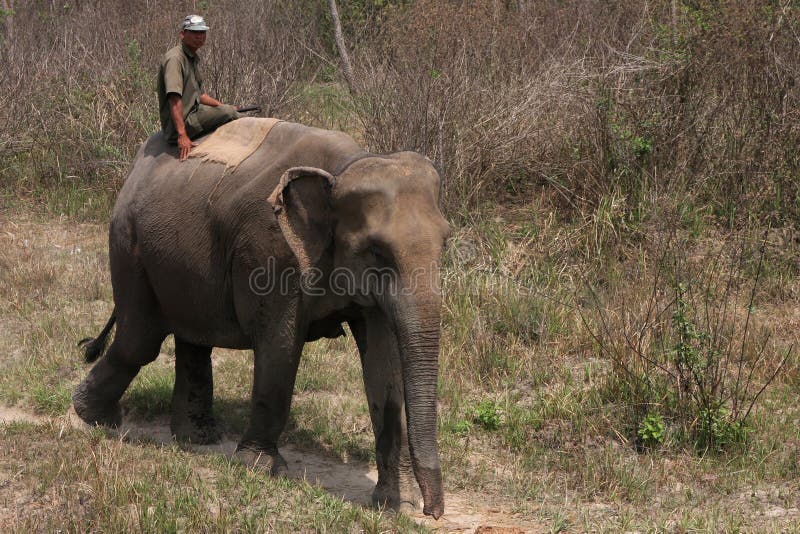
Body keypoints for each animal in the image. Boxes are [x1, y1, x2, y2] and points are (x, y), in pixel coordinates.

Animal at [71, 120, 449, 519]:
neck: (345, 167)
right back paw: (93, 418)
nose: (433, 512)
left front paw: (396, 504)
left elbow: (383, 364)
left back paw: (195, 438)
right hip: (128, 243)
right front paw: (258, 467)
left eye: (445, 242)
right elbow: (280, 345)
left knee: (191, 338)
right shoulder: (271, 253)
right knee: (139, 341)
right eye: (376, 250)